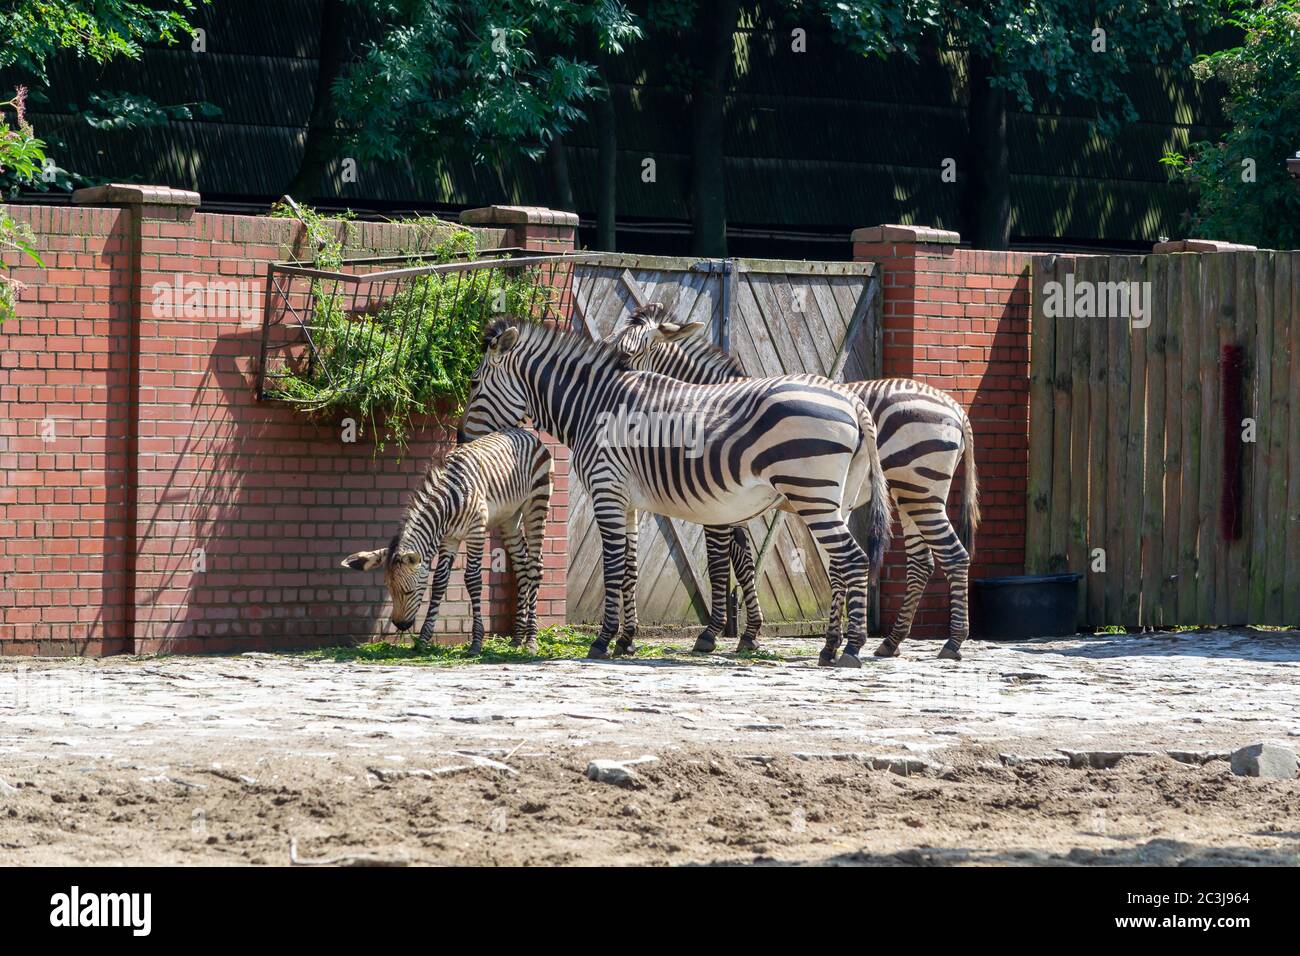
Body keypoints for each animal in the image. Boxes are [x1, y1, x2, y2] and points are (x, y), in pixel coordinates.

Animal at [342, 427, 552, 653]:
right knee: (521, 566)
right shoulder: (449, 538)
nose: (401, 625)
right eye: (390, 590)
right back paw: (517, 638)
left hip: (536, 505)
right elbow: (440, 581)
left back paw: (531, 640)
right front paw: (423, 638)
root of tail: (525, 433)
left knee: (535, 565)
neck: (448, 502)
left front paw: (476, 642)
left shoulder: (476, 532)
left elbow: (473, 580)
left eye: (408, 591)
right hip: (510, 518)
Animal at [458, 318, 892, 667]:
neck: (594, 406)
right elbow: (630, 569)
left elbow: (614, 567)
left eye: (475, 382)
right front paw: (627, 641)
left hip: (811, 494)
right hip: (834, 499)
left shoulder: (606, 491)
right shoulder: (628, 502)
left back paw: (852, 648)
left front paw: (603, 641)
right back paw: (830, 647)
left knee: (853, 560)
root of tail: (852, 400)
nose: (461, 439)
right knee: (839, 566)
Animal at [606, 303, 979, 661]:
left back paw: (952, 643)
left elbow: (718, 565)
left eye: (628, 355)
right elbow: (744, 564)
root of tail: (955, 409)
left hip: (918, 490)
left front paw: (711, 635)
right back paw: (891, 642)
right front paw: (750, 634)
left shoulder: (719, 509)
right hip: (910, 495)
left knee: (953, 555)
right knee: (921, 563)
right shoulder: (735, 507)